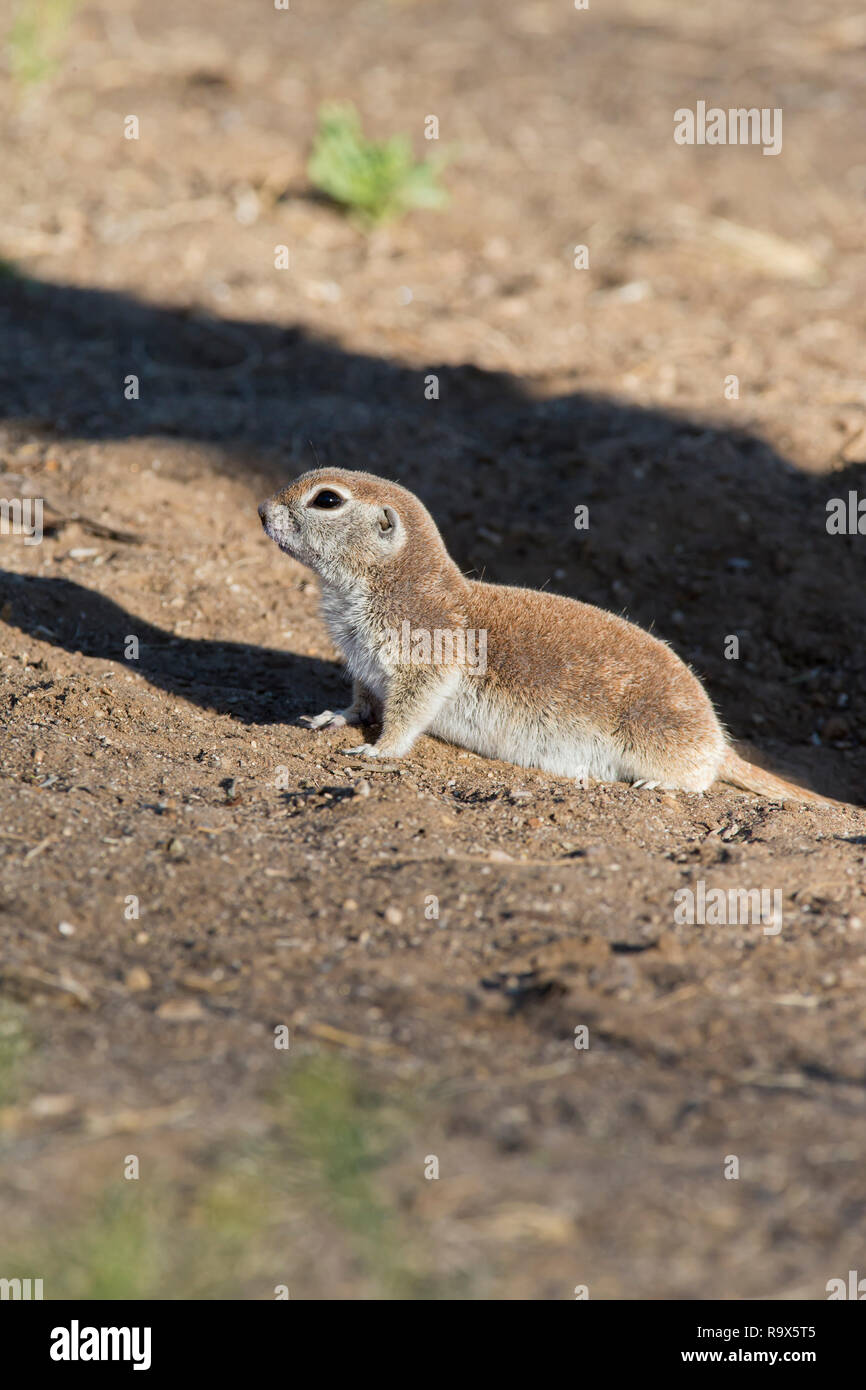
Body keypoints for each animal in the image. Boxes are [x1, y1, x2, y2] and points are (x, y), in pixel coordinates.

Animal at [259, 468, 833, 803]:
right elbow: (361, 699)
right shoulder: (363, 665)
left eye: (327, 500)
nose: (261, 509)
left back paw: (661, 781)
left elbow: (412, 708)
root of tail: (719, 742)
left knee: (700, 778)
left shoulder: (427, 651)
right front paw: (334, 717)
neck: (389, 582)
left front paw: (378, 752)